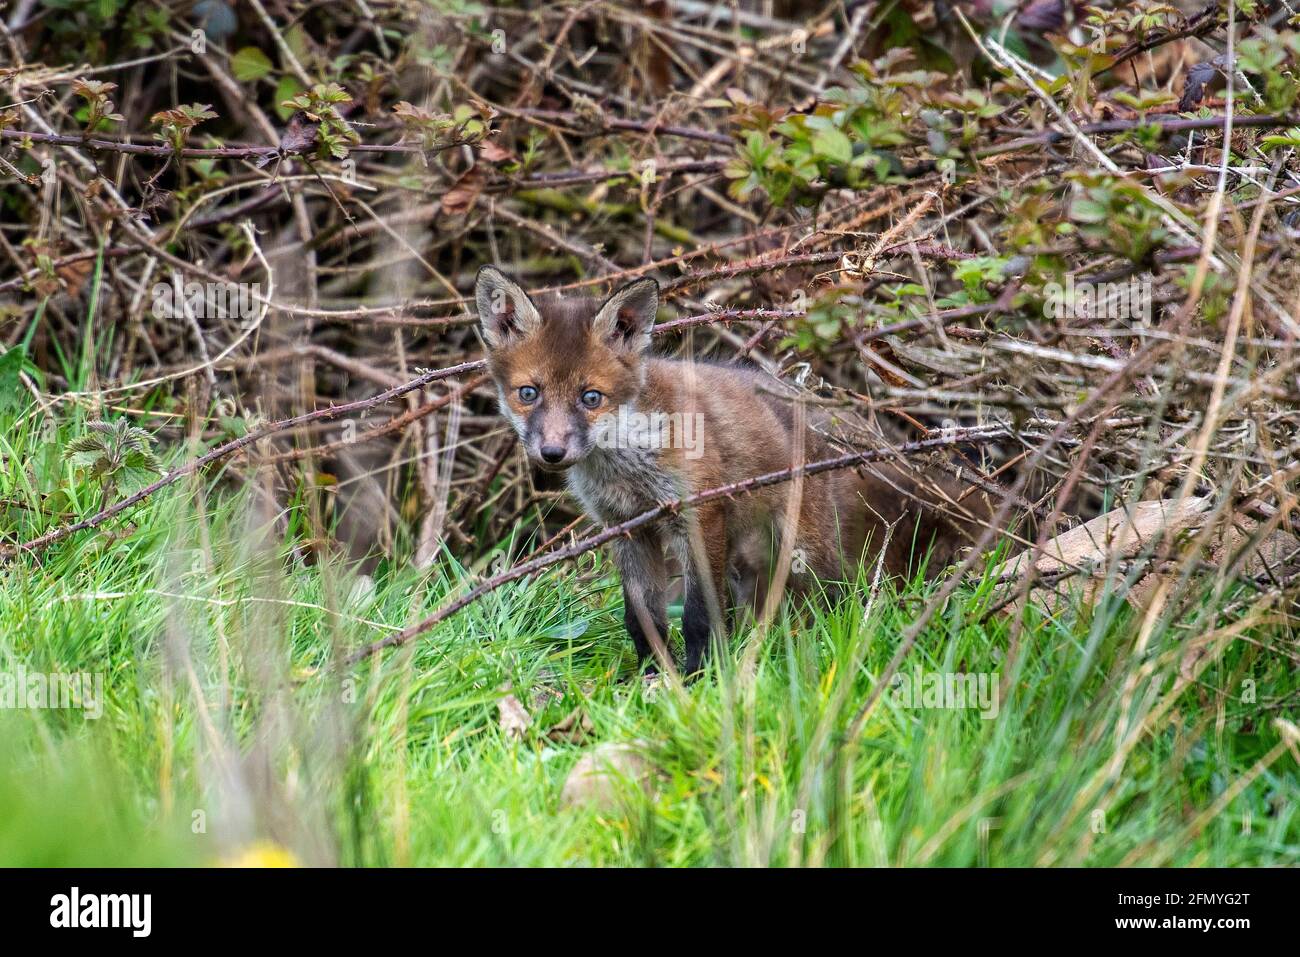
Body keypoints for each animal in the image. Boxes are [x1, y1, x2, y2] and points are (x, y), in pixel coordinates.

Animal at [475, 266, 994, 675]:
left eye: (590, 398)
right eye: (528, 393)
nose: (551, 452)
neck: (628, 462)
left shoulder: (700, 514)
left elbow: (699, 615)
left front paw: (699, 679)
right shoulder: (626, 528)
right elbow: (643, 617)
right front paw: (652, 677)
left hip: (803, 551)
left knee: (837, 598)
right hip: (750, 557)